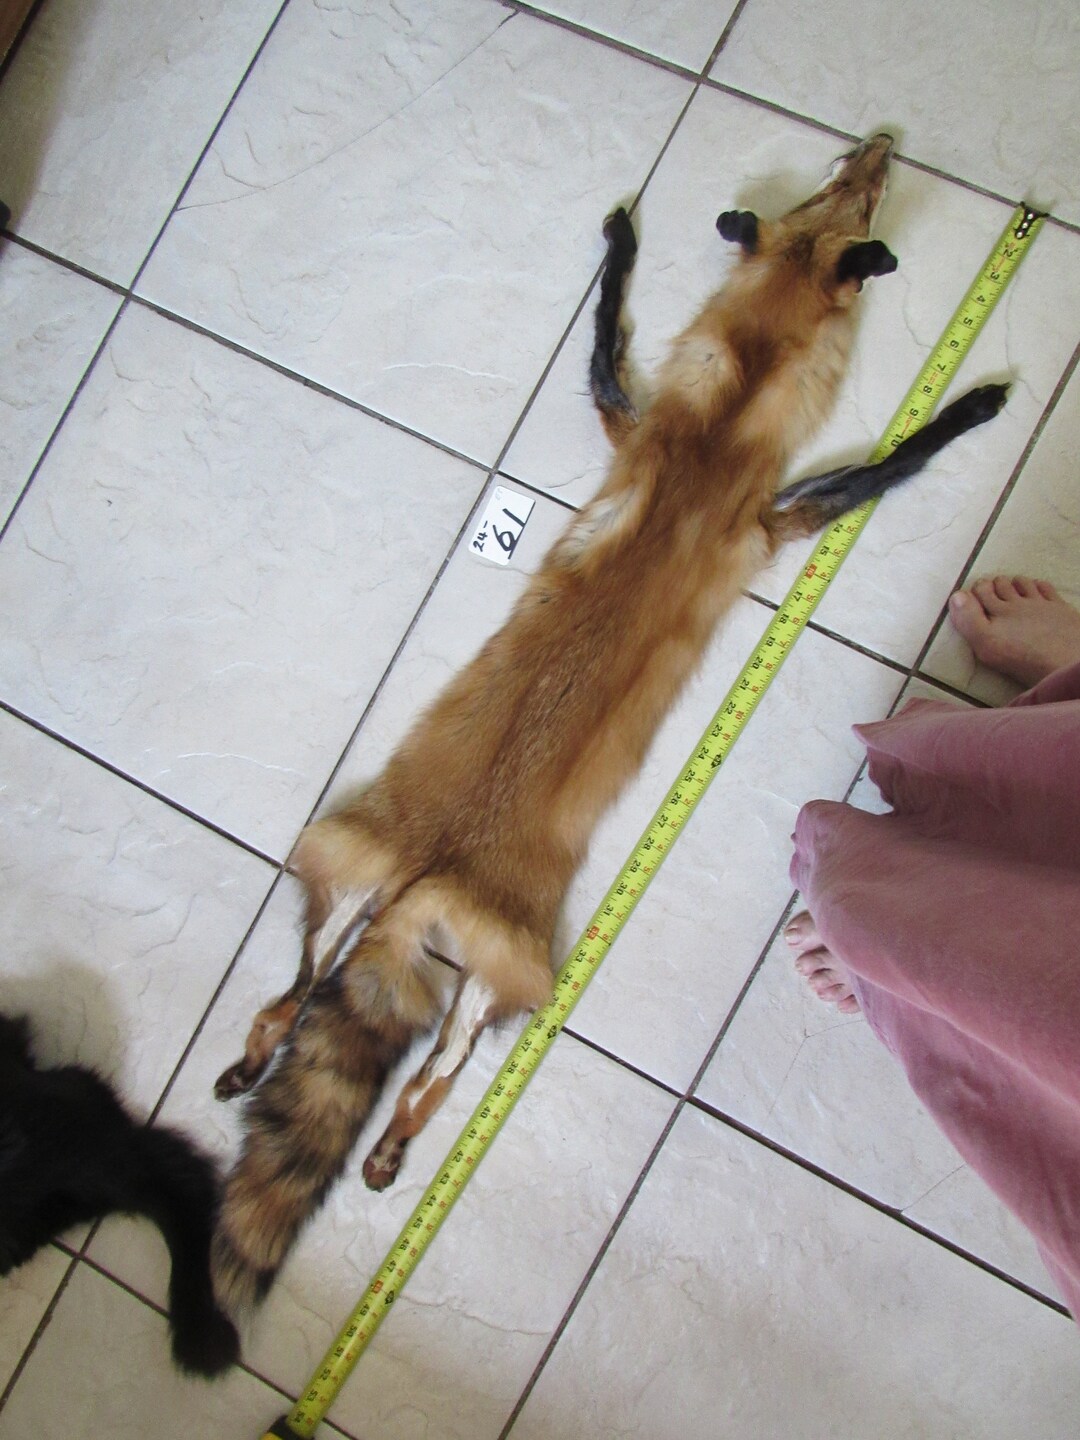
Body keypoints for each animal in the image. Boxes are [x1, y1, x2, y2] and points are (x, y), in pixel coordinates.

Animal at [211, 133, 1007, 1314]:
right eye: (853, 196)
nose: (878, 146)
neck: (717, 431)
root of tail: (422, 879)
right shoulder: (781, 521)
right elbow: (891, 463)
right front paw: (973, 409)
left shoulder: (620, 417)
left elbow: (602, 334)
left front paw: (621, 239)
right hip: (507, 987)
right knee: (430, 1080)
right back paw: (393, 1155)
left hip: (343, 883)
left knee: (294, 996)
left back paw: (250, 1069)